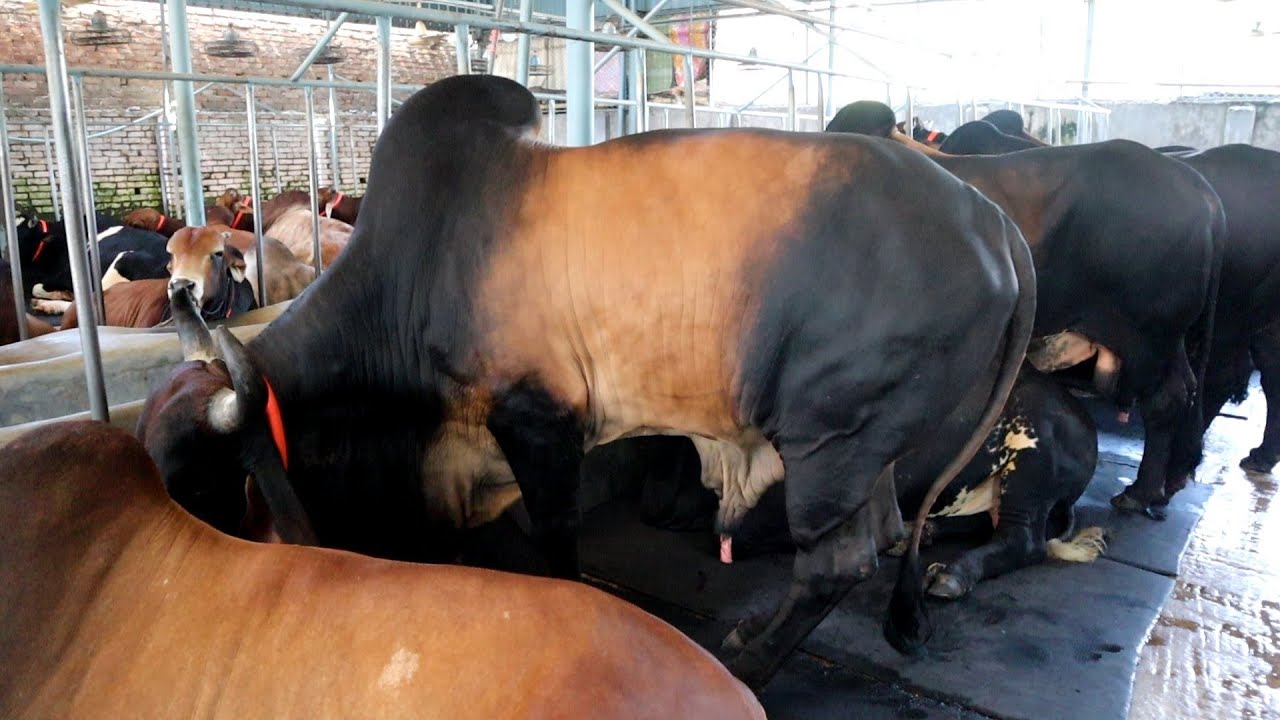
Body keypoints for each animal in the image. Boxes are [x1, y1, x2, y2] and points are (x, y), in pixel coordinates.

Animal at [135, 74, 1036, 688]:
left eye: (203, 484)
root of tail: (993, 222)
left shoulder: (540, 424)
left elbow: (556, 538)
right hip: (867, 450)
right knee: (880, 533)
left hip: (831, 440)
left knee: (834, 564)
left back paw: (743, 662)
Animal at [826, 99, 1225, 522]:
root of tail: (1195, 186)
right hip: (1168, 340)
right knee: (1185, 389)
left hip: (1148, 338)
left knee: (1165, 402)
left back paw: (1140, 492)